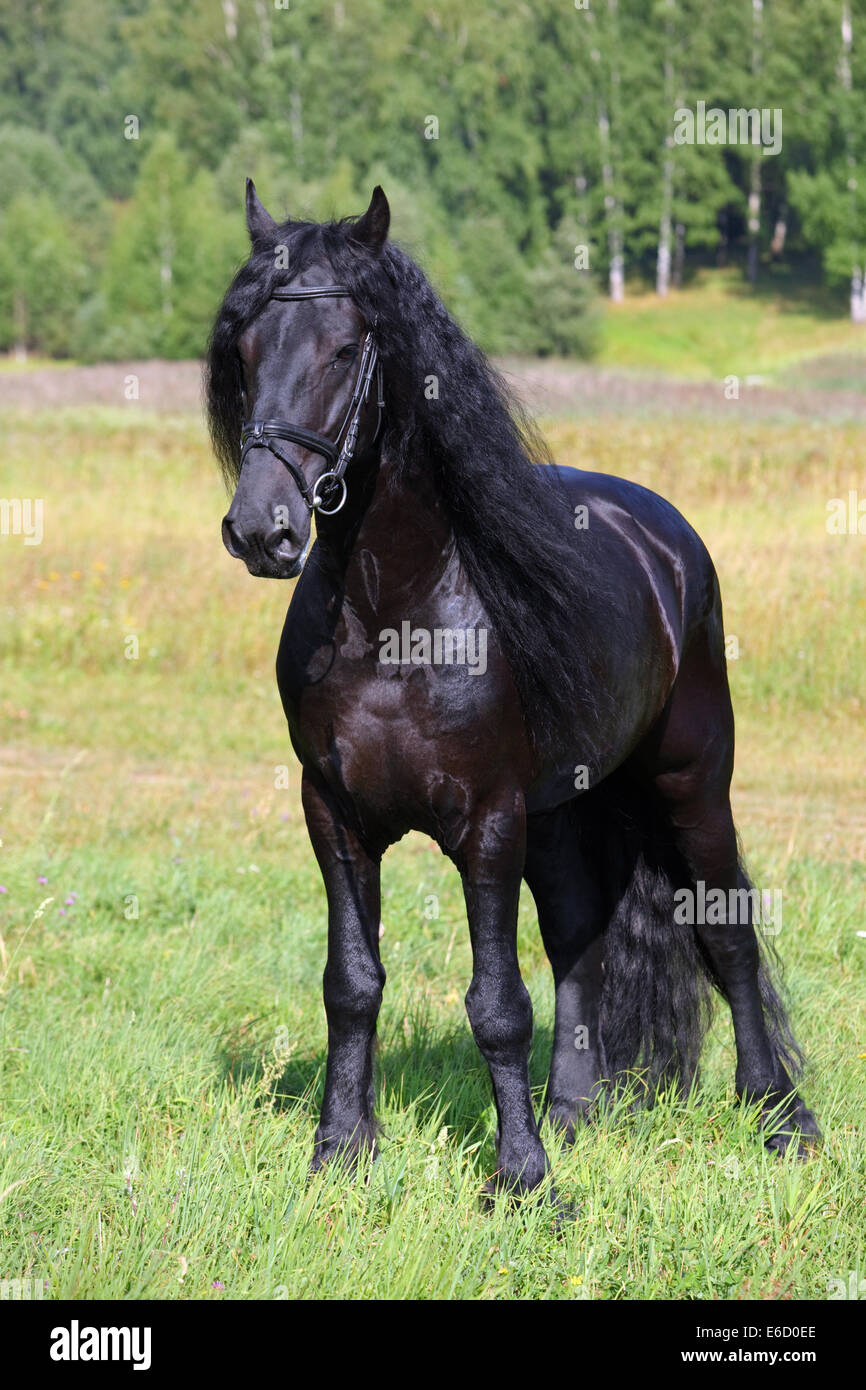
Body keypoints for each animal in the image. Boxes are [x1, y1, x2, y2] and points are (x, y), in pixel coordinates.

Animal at [206, 183, 818, 1199]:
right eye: (245, 350)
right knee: (578, 936)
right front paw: (342, 1150)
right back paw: (572, 1111)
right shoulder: (333, 815)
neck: (397, 612)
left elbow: (497, 1002)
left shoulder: (487, 821)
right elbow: (352, 984)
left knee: (727, 935)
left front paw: (524, 1180)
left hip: (693, 783)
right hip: (564, 810)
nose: (264, 530)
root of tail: (667, 540)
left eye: (345, 348)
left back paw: (778, 1117)